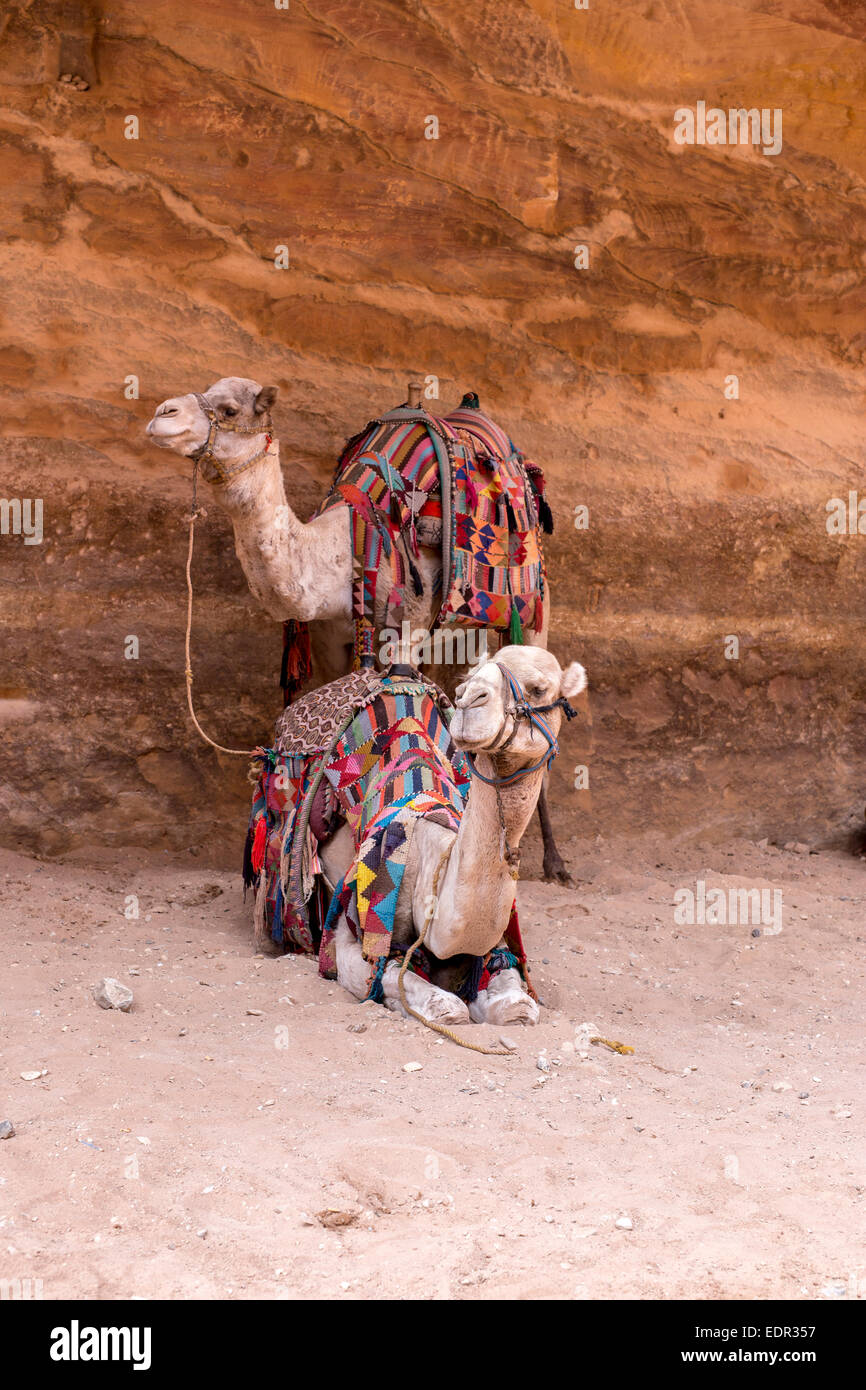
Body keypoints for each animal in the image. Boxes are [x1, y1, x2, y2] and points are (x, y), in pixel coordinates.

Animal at [145, 377, 573, 881]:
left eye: (230, 409)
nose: (162, 414)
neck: (339, 551)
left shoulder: (406, 621)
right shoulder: (333, 637)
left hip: (532, 606)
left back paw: (552, 860)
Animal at [316, 644, 587, 1026]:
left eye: (538, 689)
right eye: (469, 677)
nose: (468, 698)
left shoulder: (494, 947)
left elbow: (517, 1006)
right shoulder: (353, 933)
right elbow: (441, 1005)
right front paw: (404, 1001)